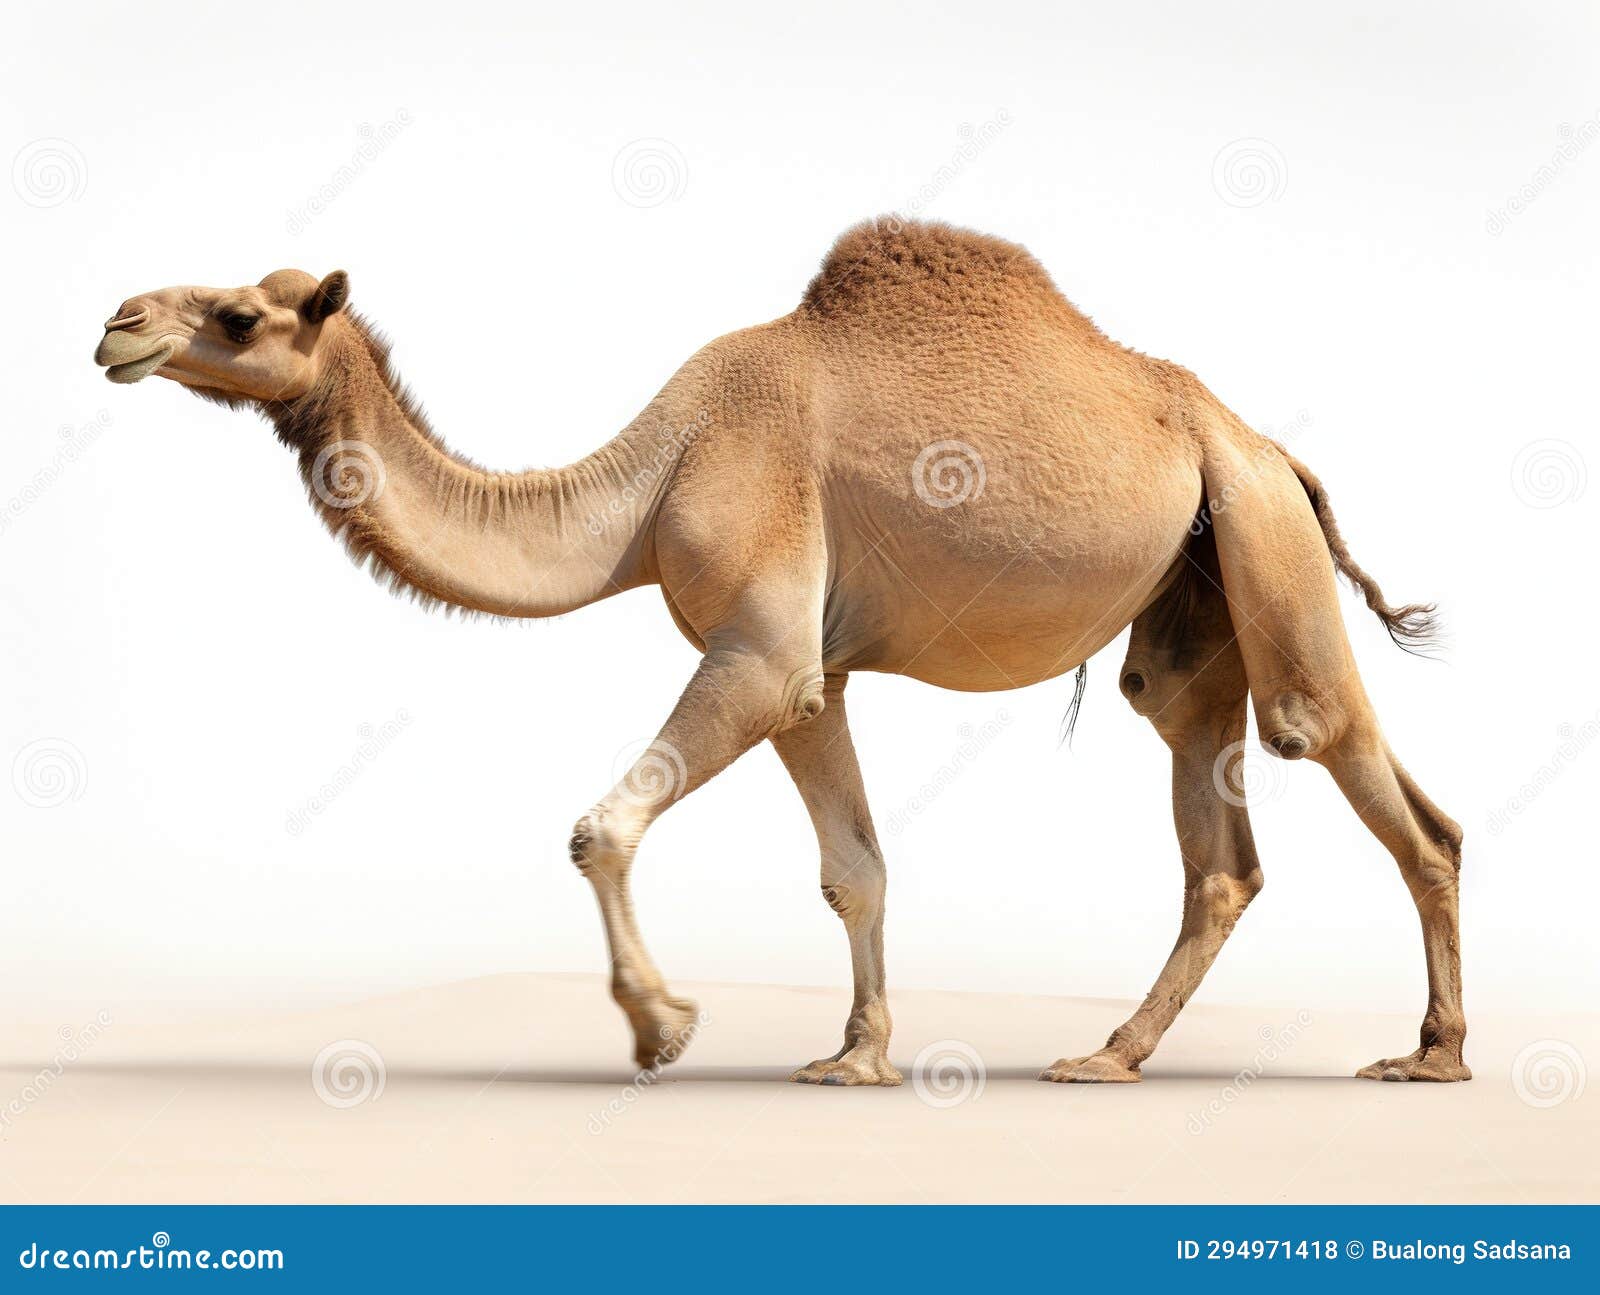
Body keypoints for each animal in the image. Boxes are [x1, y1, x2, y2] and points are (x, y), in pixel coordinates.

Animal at [93, 219, 1467, 1085]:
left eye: (239, 314)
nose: (117, 321)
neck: (650, 482)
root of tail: (1270, 446)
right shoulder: (816, 675)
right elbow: (852, 865)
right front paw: (856, 1055)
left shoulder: (755, 645)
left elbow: (602, 824)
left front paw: (661, 1026)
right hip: (1197, 591)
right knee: (1214, 827)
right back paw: (1107, 1056)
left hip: (1263, 541)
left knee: (1362, 768)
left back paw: (1429, 1054)